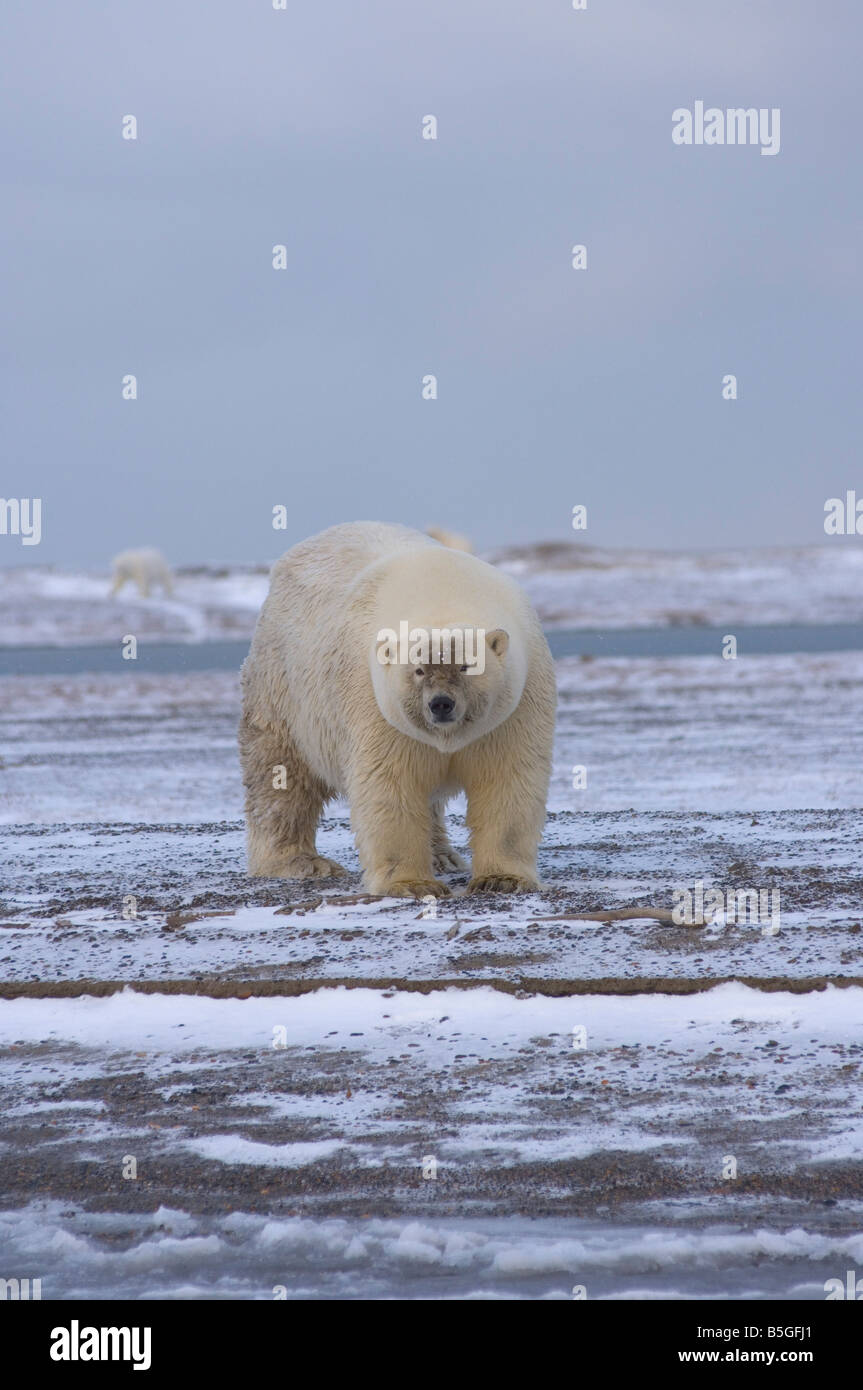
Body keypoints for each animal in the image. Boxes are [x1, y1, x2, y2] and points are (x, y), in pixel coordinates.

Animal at [239, 522, 556, 899]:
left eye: (466, 666)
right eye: (418, 670)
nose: (441, 704)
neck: (444, 592)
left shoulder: (514, 706)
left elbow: (507, 780)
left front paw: (502, 878)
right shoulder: (376, 704)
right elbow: (391, 784)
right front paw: (412, 884)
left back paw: (443, 857)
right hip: (284, 684)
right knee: (281, 772)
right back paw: (300, 862)